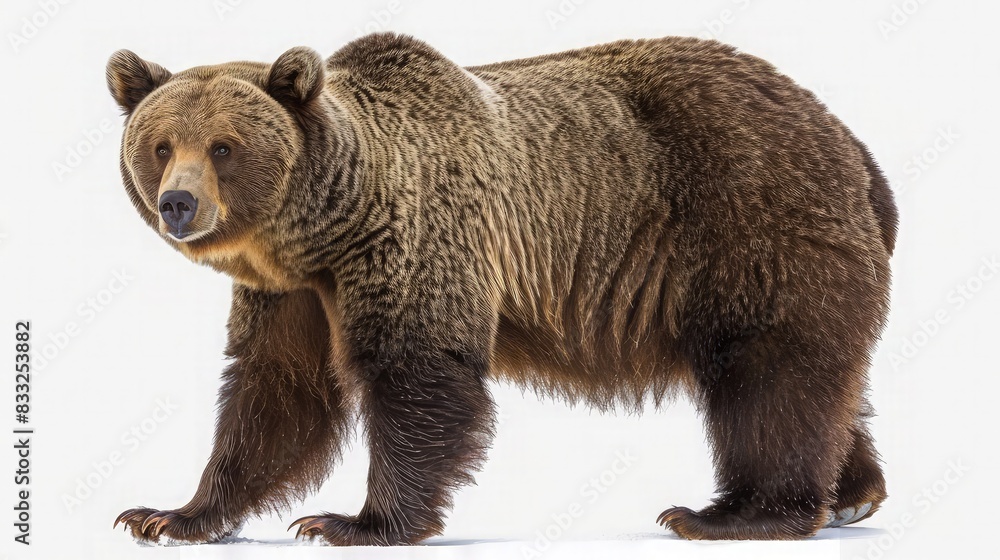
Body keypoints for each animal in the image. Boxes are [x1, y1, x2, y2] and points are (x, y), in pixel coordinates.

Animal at [106, 32, 896, 545]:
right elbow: (276, 387)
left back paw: (735, 514)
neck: (325, 229)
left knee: (766, 373)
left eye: (223, 147)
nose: (178, 204)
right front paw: (171, 515)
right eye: (160, 145)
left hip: (749, 223)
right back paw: (851, 493)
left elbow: (417, 370)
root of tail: (854, 146)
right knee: (813, 377)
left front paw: (354, 522)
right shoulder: (292, 291)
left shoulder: (416, 238)